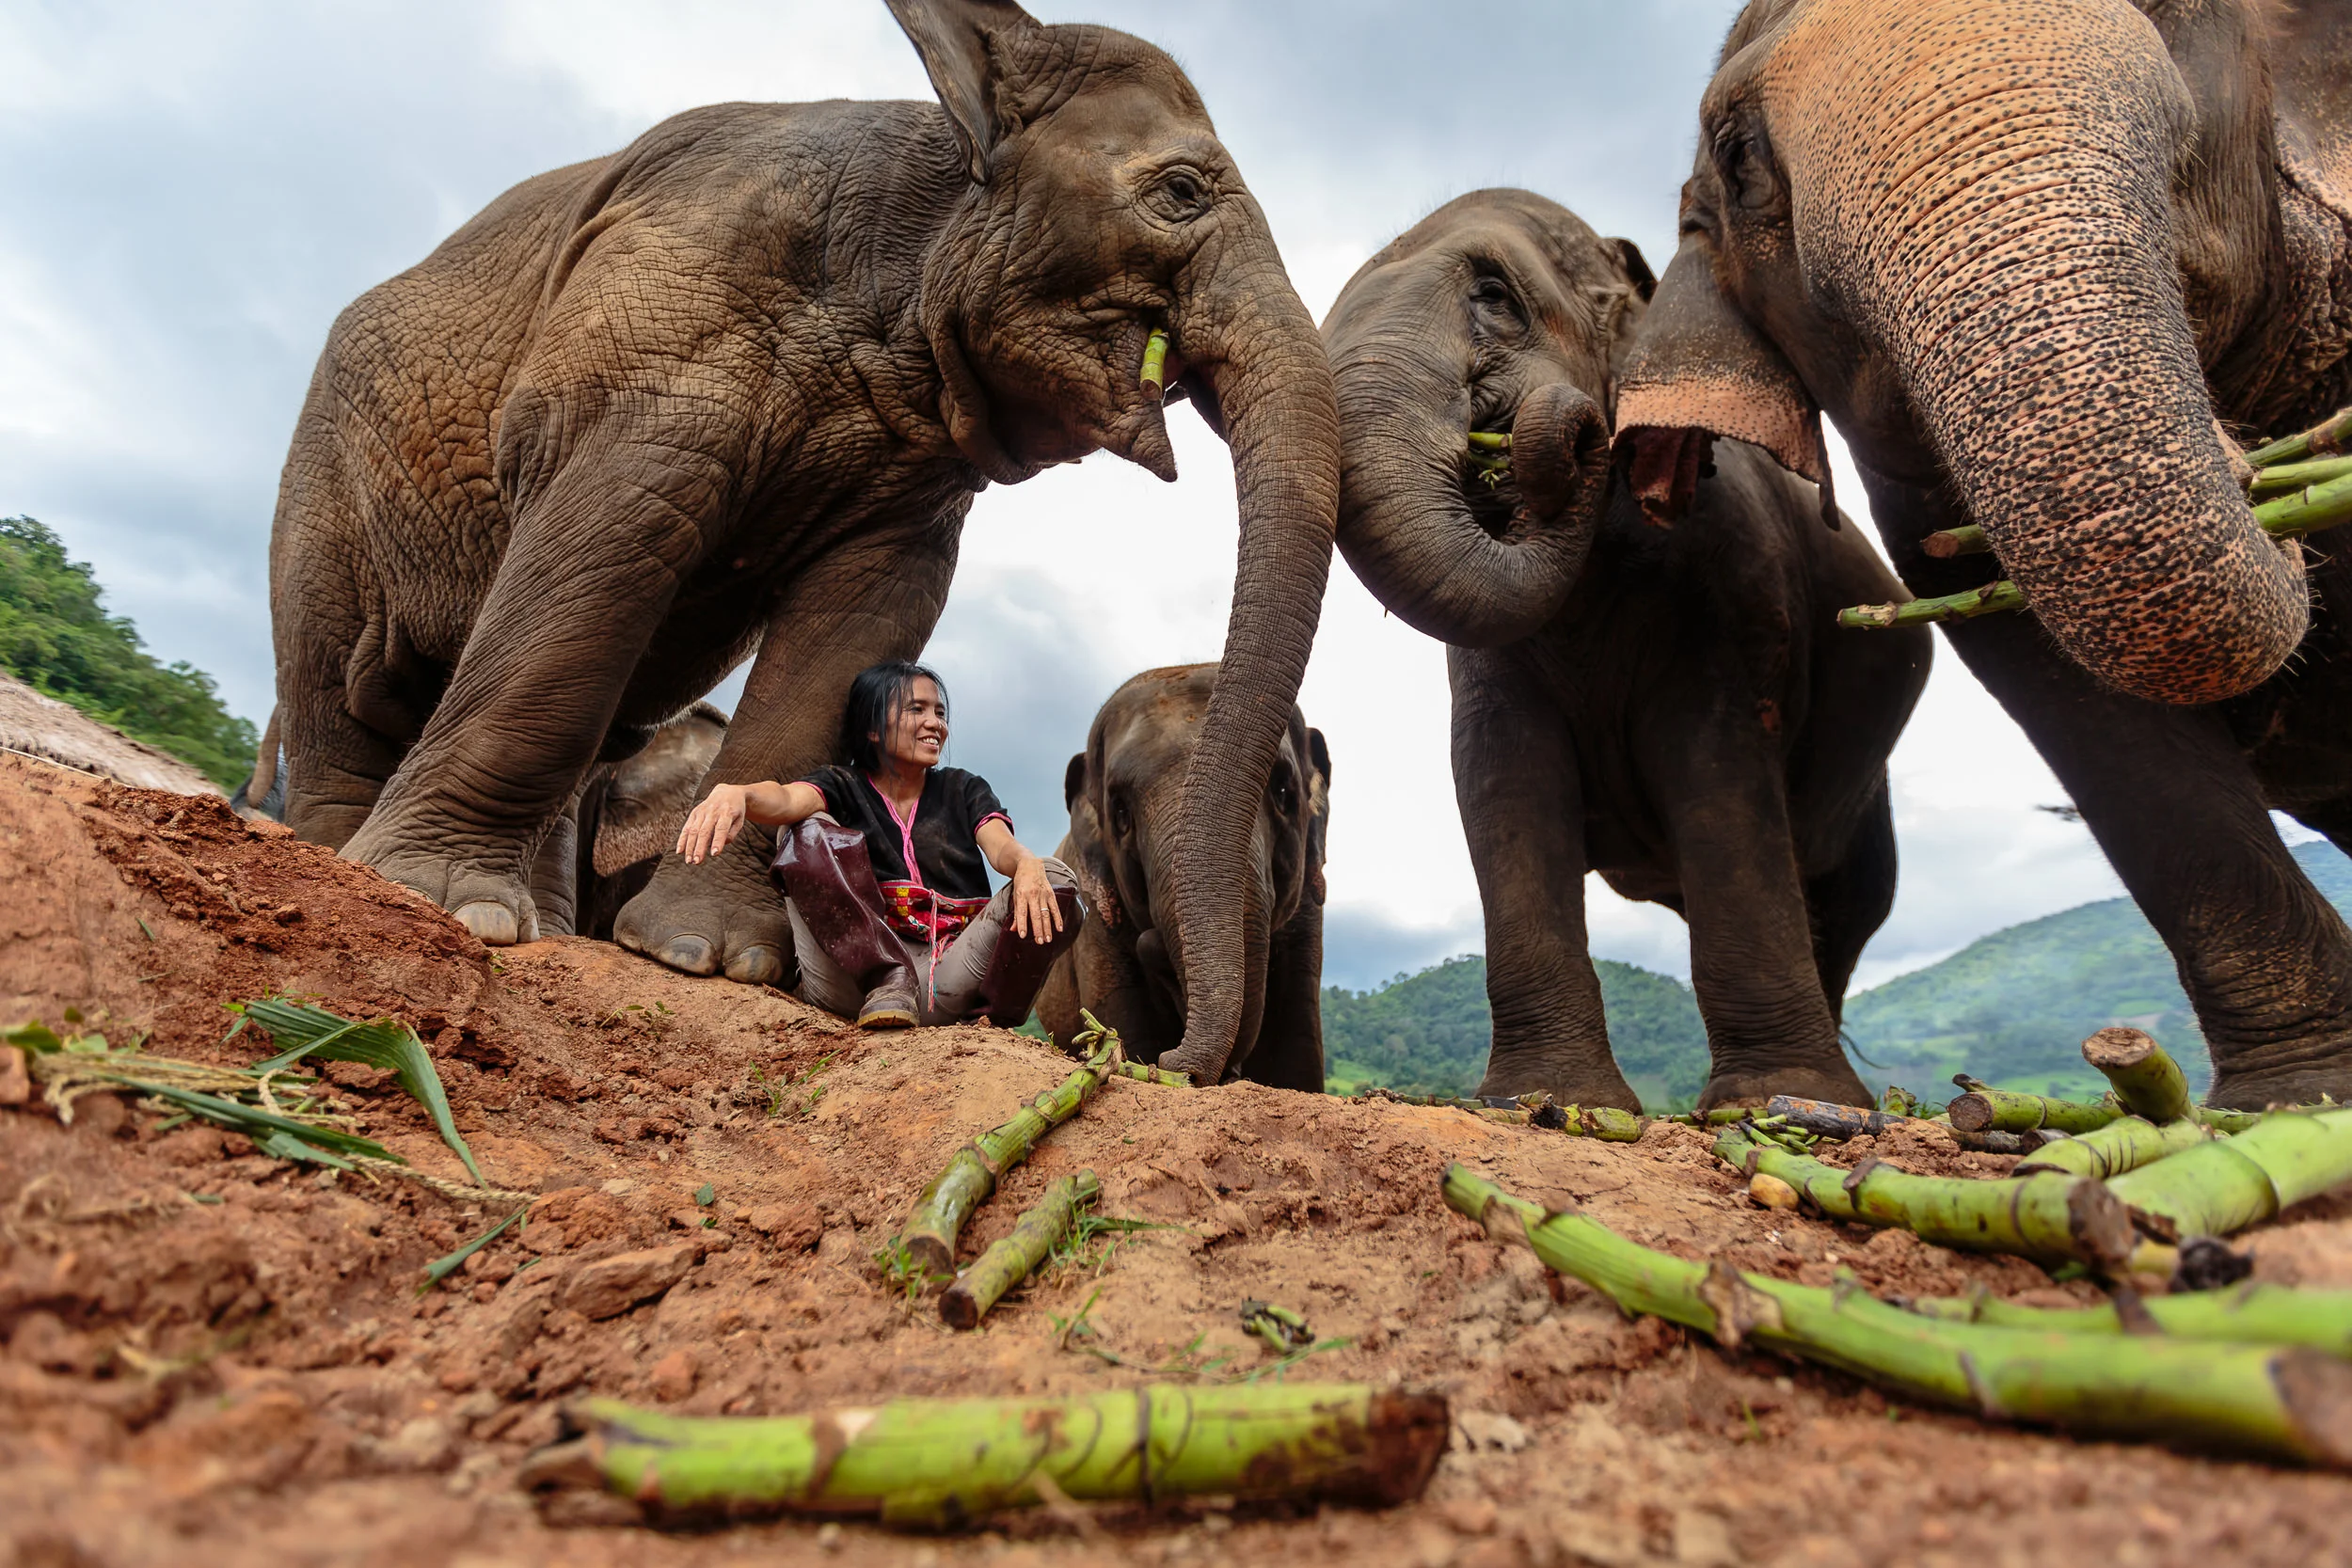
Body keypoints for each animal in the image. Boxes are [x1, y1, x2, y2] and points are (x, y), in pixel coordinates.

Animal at [1033, 664, 1330, 1090]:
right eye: (1120, 814)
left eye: (1283, 790)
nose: (1176, 1063)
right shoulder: (1095, 919)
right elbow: (1128, 1026)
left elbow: (1293, 1056)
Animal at [1323, 189, 1931, 1110]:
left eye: (1494, 295)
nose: (1572, 433)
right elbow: (1503, 777)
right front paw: (1550, 1102)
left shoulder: (1731, 585)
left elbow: (1718, 773)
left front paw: (1764, 1100)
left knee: (1848, 902)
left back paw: (1827, 1102)